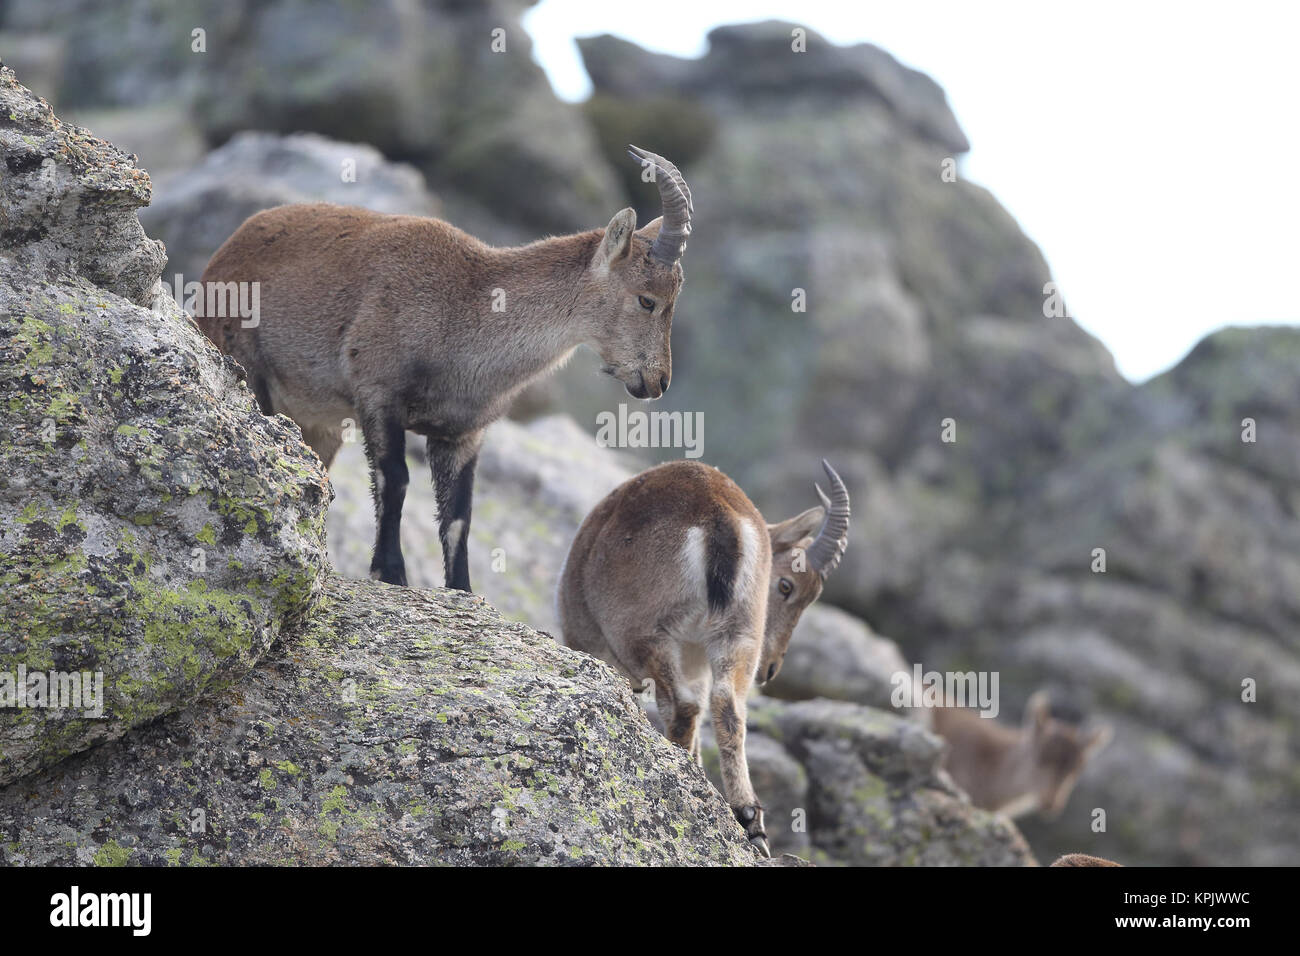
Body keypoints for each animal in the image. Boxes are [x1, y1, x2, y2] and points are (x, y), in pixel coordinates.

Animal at [196, 146, 693, 591]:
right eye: (648, 300)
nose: (658, 382)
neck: (464, 309)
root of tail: (217, 261)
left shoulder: (463, 432)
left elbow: (458, 517)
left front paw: (462, 591)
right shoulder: (377, 392)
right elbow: (394, 479)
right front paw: (390, 572)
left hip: (319, 422)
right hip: (251, 375)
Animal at [557, 459, 851, 857]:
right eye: (786, 585)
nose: (771, 669)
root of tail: (716, 511)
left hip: (645, 633)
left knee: (683, 708)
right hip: (740, 635)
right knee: (727, 708)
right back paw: (749, 819)